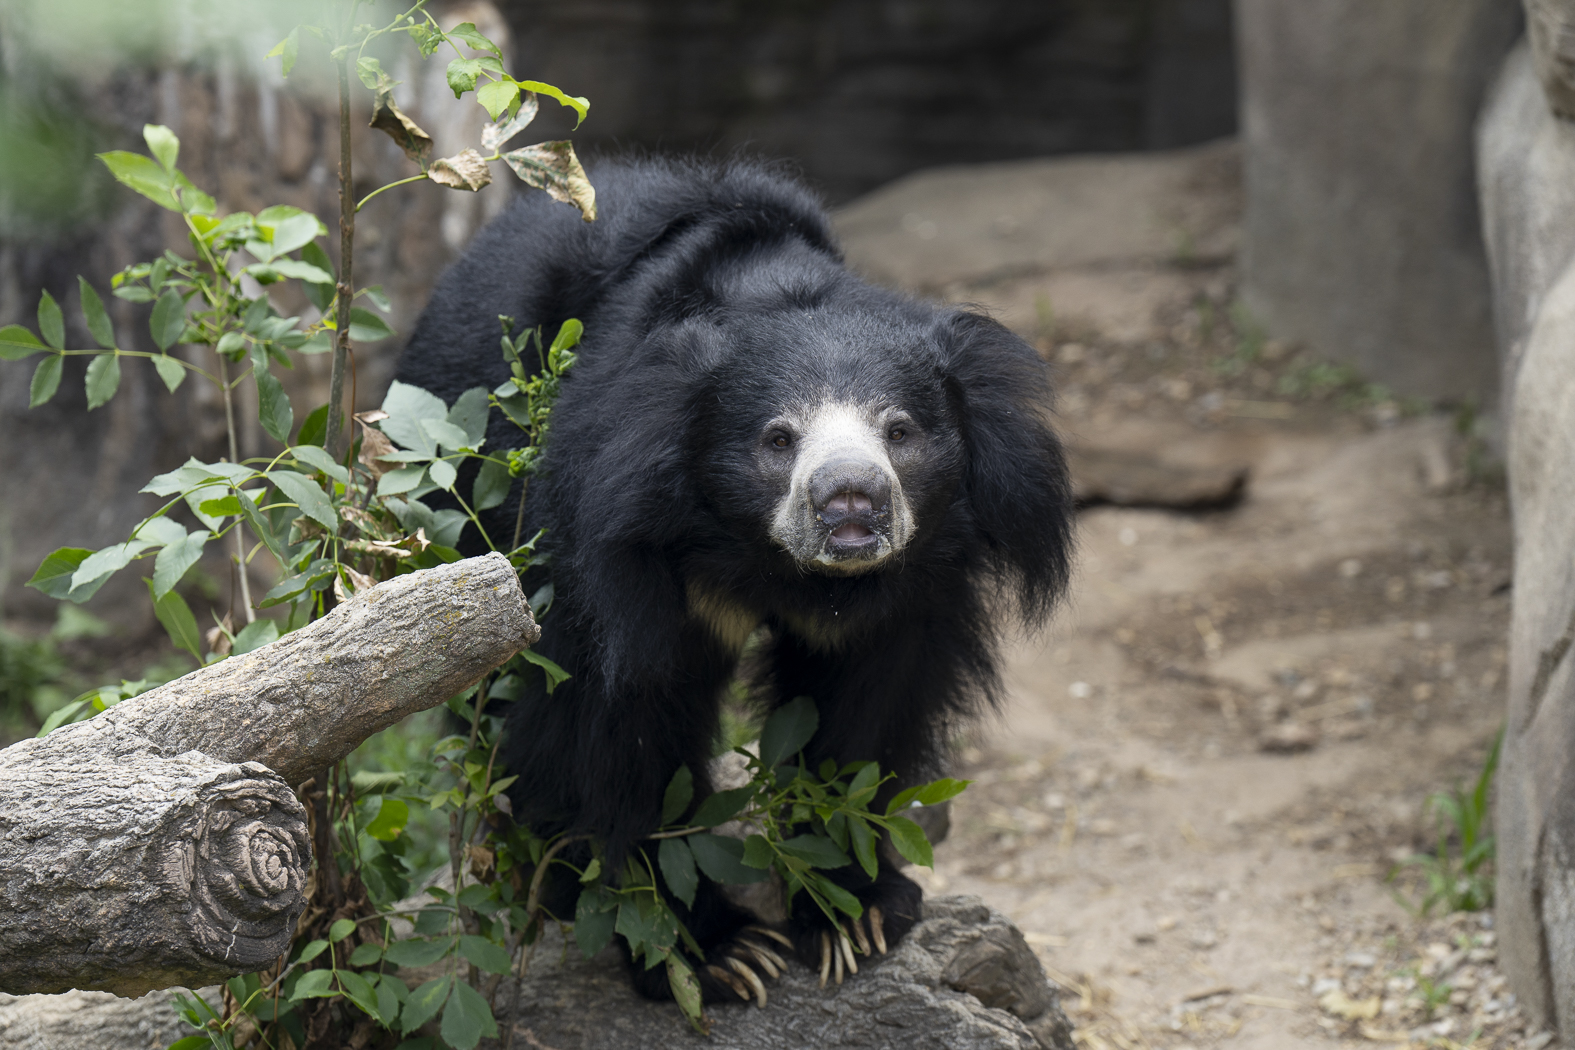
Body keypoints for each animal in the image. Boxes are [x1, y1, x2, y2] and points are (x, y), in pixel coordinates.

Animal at [394, 157, 1073, 1004]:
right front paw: (712, 949)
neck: (778, 564)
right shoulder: (620, 545)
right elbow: (610, 721)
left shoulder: (903, 585)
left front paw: (854, 912)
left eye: (900, 430)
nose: (850, 502)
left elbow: (861, 711)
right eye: (777, 439)